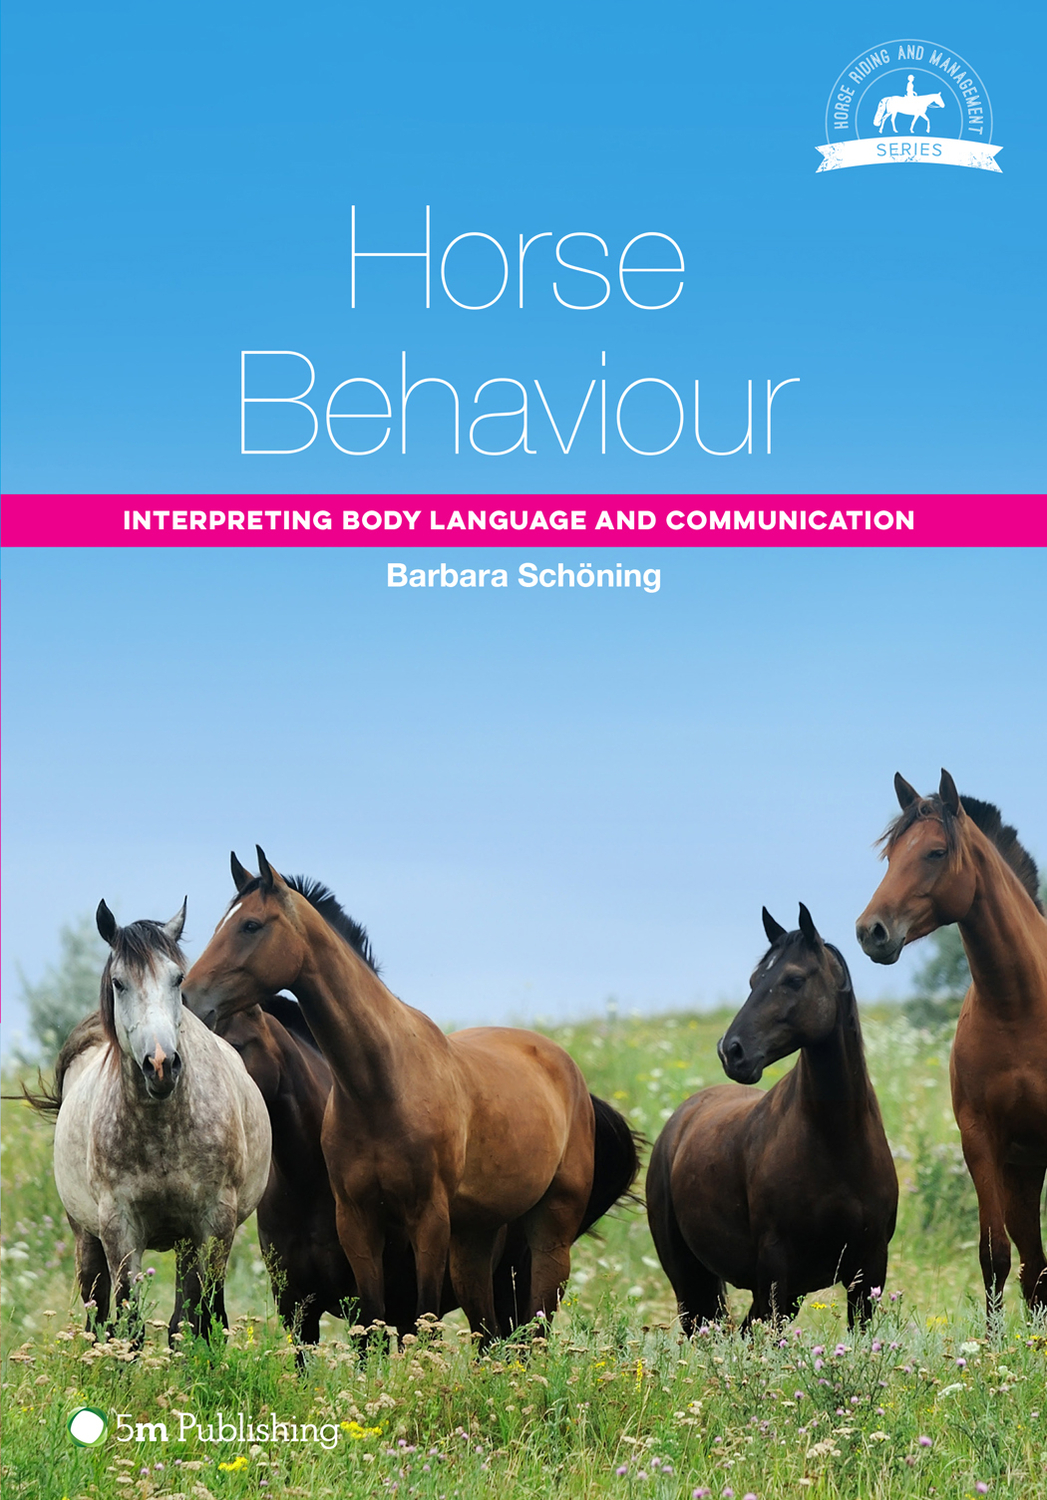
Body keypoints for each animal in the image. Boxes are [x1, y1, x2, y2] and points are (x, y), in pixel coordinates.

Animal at [34, 901, 271, 1341]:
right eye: (119, 982)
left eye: (176, 978)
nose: (160, 1065)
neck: (161, 1131)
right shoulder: (118, 1225)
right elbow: (128, 1322)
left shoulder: (213, 1221)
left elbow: (201, 1318)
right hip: (85, 1236)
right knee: (97, 1312)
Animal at [181, 850, 640, 1344]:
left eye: (250, 925)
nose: (186, 997)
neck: (380, 1089)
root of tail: (570, 1074)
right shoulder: (357, 1225)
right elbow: (373, 1323)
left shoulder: (428, 1222)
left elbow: (423, 1319)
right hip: (474, 1243)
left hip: (549, 1234)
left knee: (535, 1329)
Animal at [647, 905, 897, 1332]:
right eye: (754, 980)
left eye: (794, 979)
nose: (732, 1051)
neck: (837, 1142)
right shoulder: (778, 1273)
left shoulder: (868, 1270)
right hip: (688, 1278)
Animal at [856, 770, 1047, 1317]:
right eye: (890, 855)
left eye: (936, 852)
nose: (870, 931)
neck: (1019, 1006)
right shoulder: (980, 1140)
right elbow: (994, 1257)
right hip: (1022, 1171)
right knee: (1034, 1267)